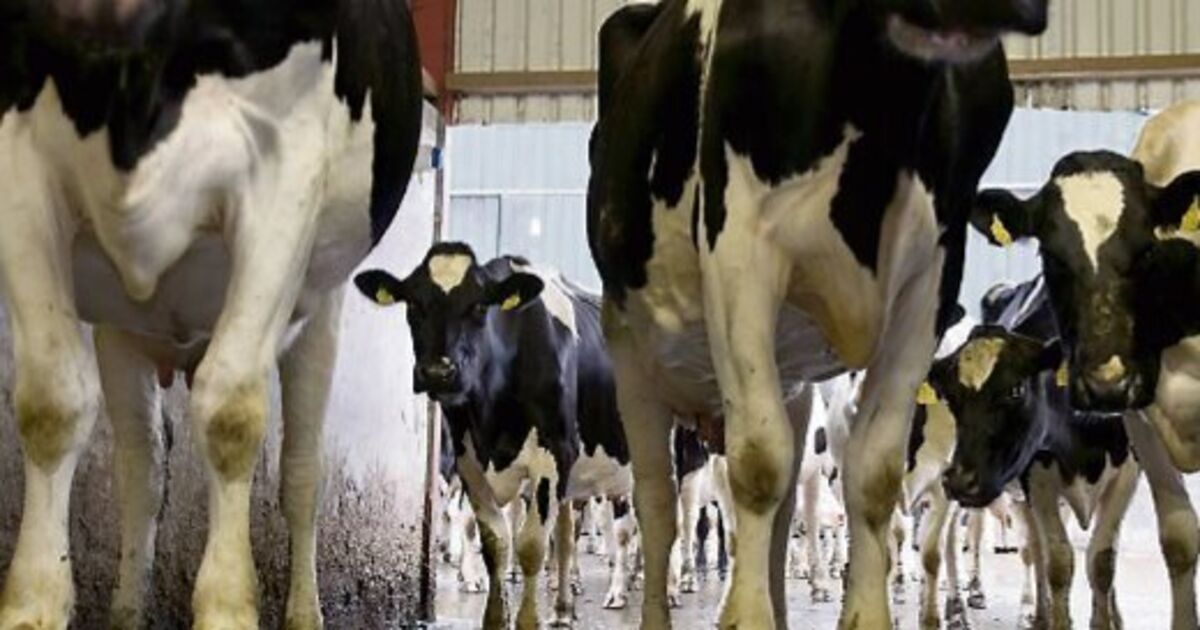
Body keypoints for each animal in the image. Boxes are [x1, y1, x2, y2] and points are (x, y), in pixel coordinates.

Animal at [0, 1, 422, 628]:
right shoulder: (18, 154)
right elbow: (52, 406)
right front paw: (33, 606)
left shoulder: (284, 165)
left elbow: (230, 413)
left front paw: (226, 606)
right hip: (121, 332)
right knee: (144, 468)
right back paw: (128, 610)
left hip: (321, 312)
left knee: (302, 473)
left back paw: (304, 612)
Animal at [354, 244, 633, 628]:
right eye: (412, 304)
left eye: (478, 306)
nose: (437, 372)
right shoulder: (468, 462)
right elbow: (495, 542)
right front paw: (496, 617)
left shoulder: (552, 457)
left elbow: (531, 546)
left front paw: (527, 620)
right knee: (566, 534)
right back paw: (563, 610)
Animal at [586, 0, 1048, 626]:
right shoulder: (740, 253)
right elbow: (757, 464)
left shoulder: (931, 277)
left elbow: (873, 476)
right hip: (633, 354)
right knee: (656, 507)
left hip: (793, 388)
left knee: (780, 513)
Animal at [930, 324, 1138, 630]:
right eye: (950, 396)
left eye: (1016, 390)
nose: (959, 481)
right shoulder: (1038, 479)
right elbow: (1058, 562)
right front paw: (1056, 620)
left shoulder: (1127, 473)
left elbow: (1102, 561)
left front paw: (1107, 621)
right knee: (1013, 547)